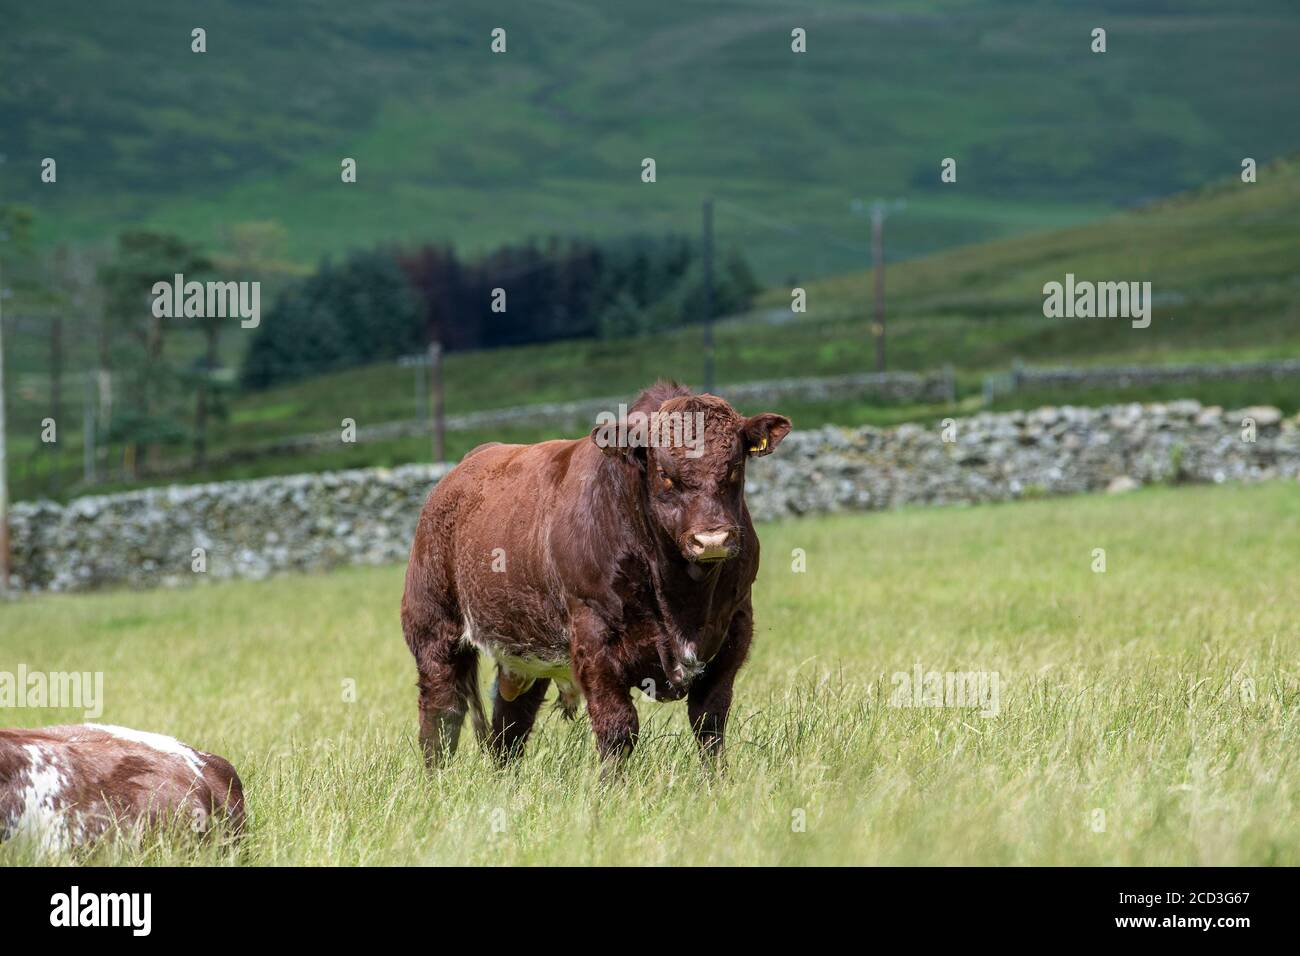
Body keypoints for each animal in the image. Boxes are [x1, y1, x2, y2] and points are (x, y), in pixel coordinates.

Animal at [401, 381, 791, 772]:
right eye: (665, 474)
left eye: (735, 467)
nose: (712, 539)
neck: (682, 600)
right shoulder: (594, 637)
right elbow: (618, 726)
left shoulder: (735, 626)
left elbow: (710, 722)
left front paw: (717, 780)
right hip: (434, 626)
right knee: (441, 710)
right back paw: (437, 776)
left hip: (527, 652)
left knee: (510, 724)